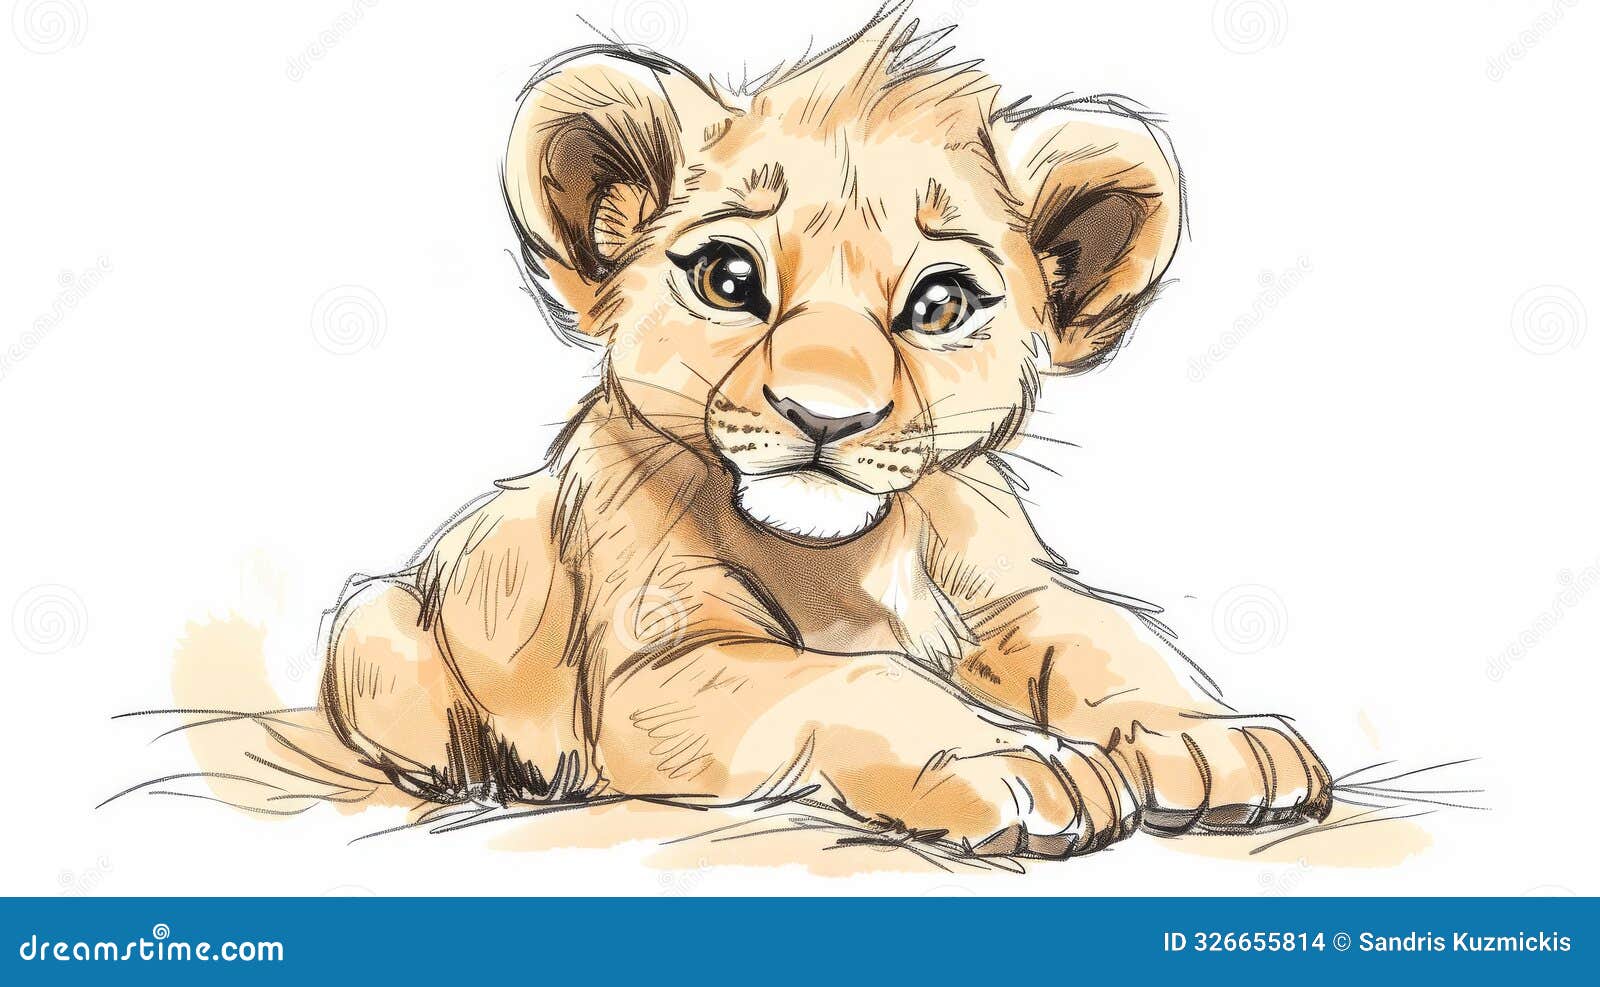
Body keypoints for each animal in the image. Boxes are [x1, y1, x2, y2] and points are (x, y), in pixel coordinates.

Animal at [318, 6, 1332, 858]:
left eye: (940, 302)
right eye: (729, 279)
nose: (825, 415)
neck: (850, 557)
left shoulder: (1017, 597)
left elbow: (1111, 637)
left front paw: (1221, 740)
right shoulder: (660, 667)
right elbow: (852, 676)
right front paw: (1009, 762)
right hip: (374, 630)